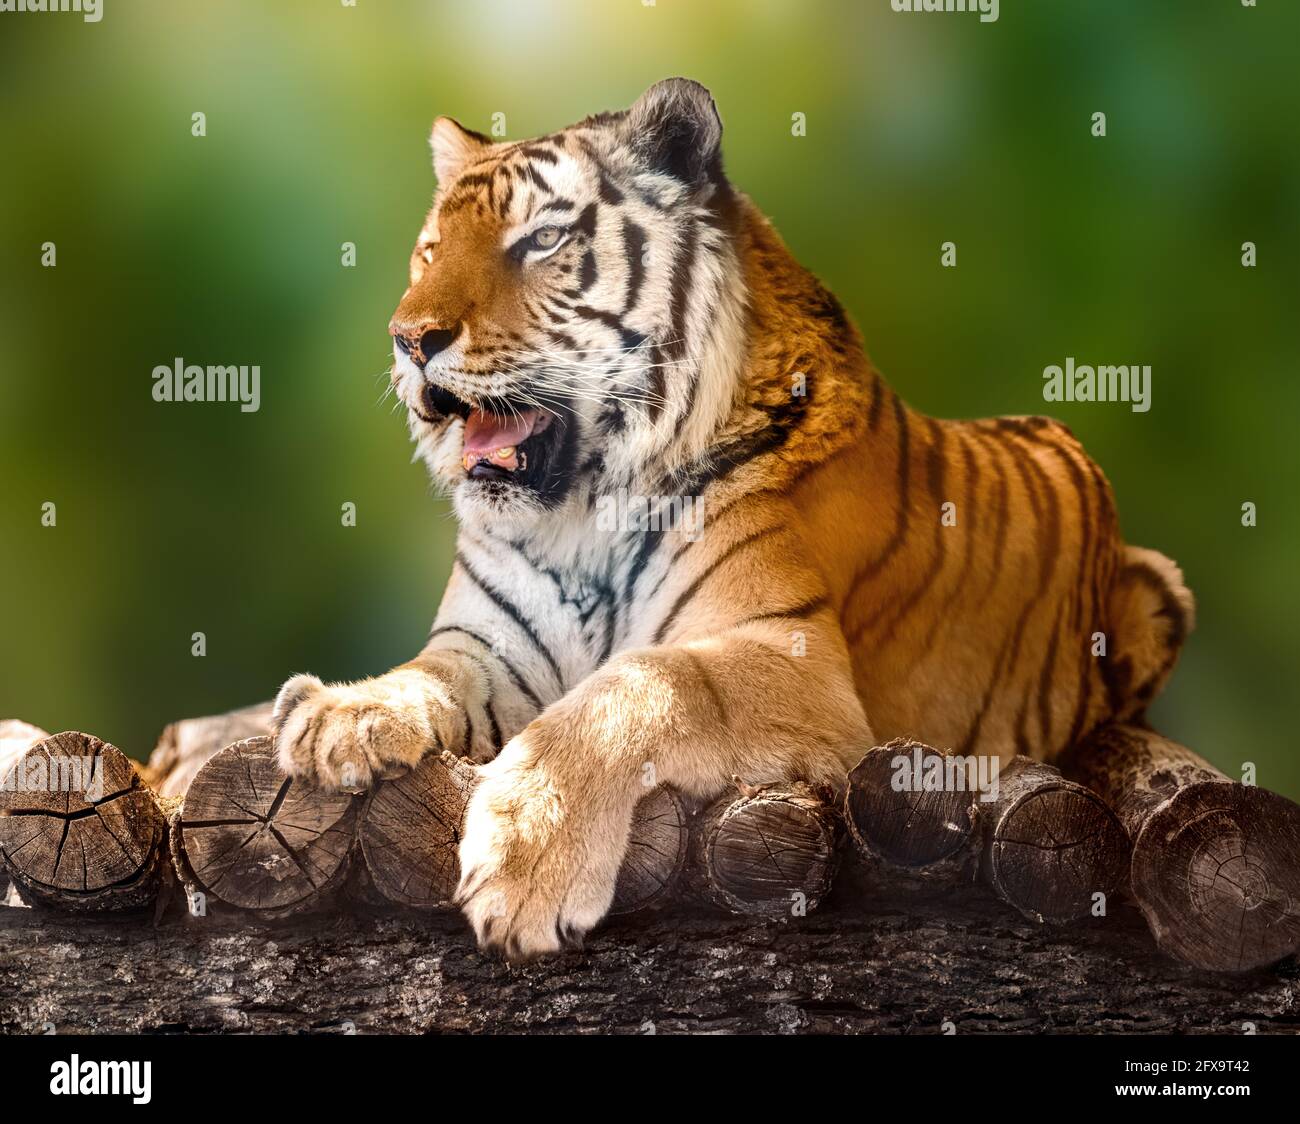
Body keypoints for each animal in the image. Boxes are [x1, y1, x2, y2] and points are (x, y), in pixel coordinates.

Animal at [272, 78, 1194, 960]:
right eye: (431, 250)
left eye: (541, 240)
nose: (408, 339)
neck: (580, 515)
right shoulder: (486, 648)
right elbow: (426, 674)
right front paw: (340, 716)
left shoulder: (794, 659)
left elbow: (646, 682)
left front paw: (526, 861)